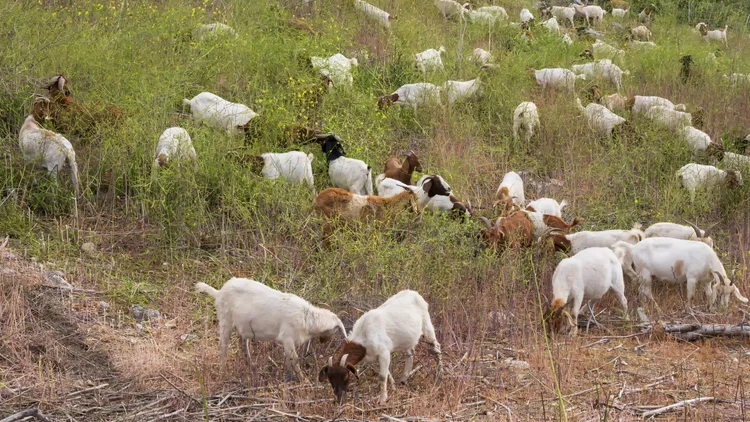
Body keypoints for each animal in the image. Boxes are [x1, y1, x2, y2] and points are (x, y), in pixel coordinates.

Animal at [195, 278, 346, 380]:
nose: (323, 341)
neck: (307, 317)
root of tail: (218, 292)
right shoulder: (287, 338)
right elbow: (295, 361)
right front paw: (304, 380)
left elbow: (289, 361)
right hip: (225, 320)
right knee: (223, 346)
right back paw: (223, 373)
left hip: (243, 327)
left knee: (243, 344)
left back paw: (251, 366)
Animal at [611, 238, 748, 309]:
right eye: (720, 292)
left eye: (731, 293)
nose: (725, 306)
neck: (706, 257)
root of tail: (633, 248)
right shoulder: (691, 278)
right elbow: (691, 296)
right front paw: (689, 310)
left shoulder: (707, 281)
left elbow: (709, 294)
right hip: (646, 274)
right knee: (647, 292)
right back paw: (658, 309)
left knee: (641, 290)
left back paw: (643, 306)